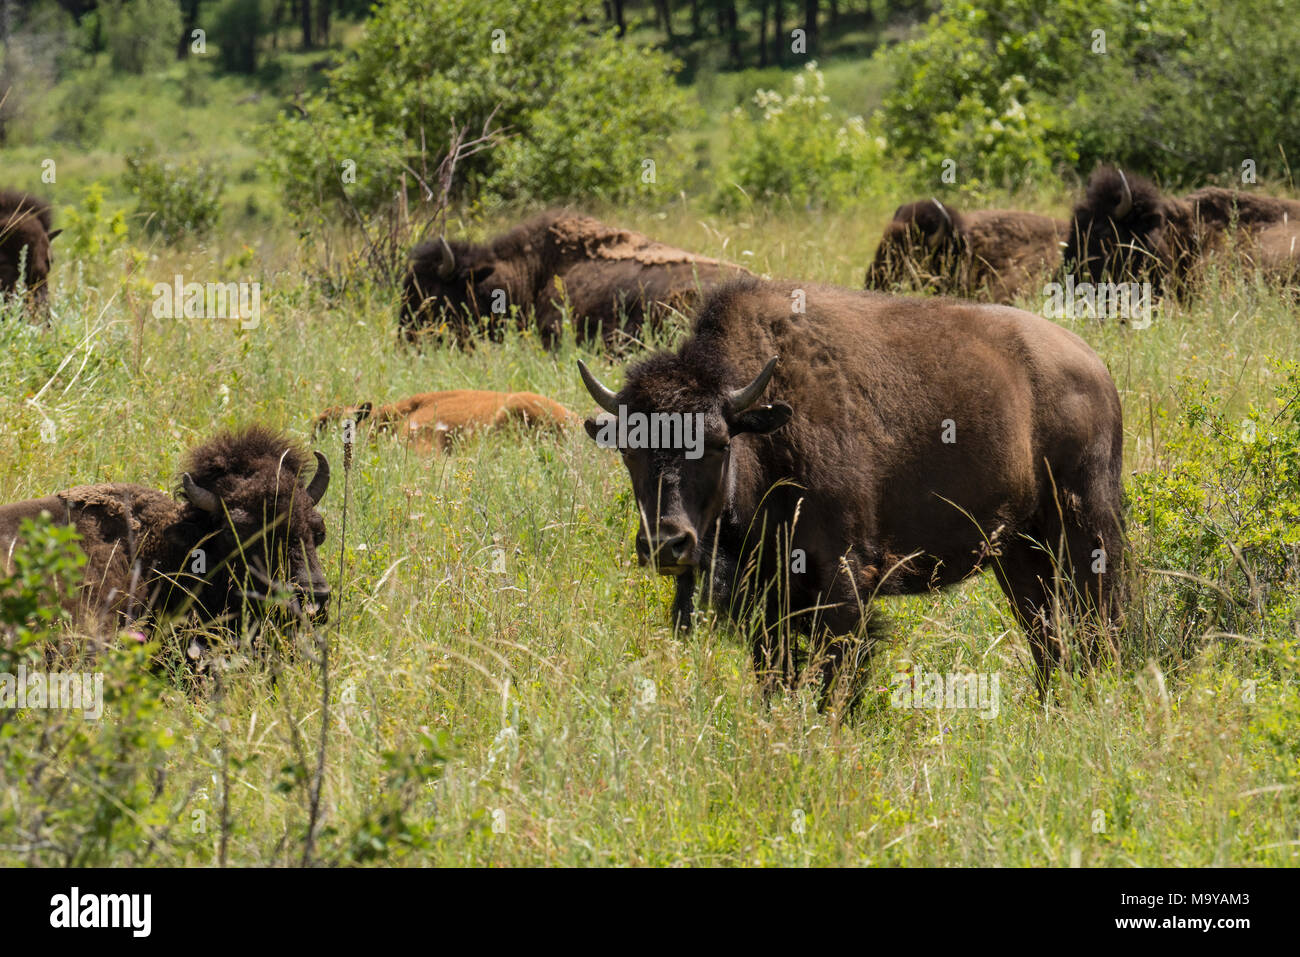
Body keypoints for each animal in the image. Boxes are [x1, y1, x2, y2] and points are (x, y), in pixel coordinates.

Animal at [579, 278, 1124, 705]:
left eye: (716, 443)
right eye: (629, 448)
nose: (666, 543)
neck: (764, 428)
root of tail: (1095, 368)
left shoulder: (842, 581)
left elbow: (837, 675)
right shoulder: (768, 599)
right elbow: (775, 676)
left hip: (1085, 533)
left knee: (1098, 620)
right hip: (1017, 552)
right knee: (1045, 632)